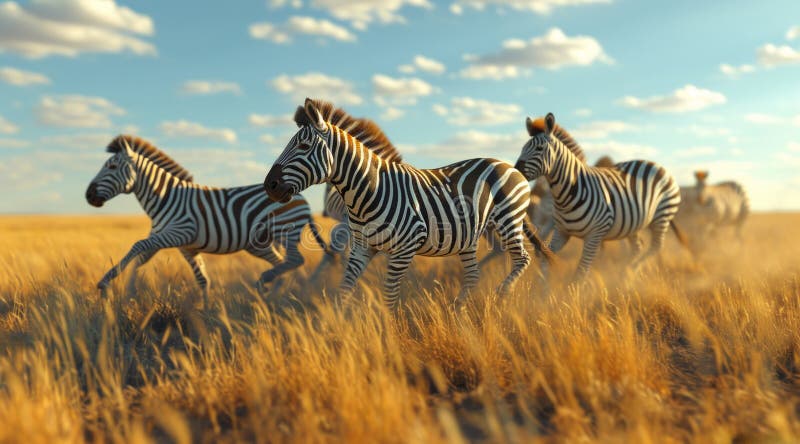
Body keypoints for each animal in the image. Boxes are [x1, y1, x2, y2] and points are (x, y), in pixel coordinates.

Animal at [85, 135, 328, 304]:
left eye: (111, 166)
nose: (88, 195)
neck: (165, 198)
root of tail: (301, 197)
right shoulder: (184, 246)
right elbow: (199, 278)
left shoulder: (179, 232)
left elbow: (137, 246)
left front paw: (106, 282)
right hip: (259, 244)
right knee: (282, 265)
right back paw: (269, 296)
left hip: (285, 230)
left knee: (294, 261)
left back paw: (266, 290)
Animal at [263, 98, 554, 309]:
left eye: (303, 146)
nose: (269, 185)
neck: (369, 190)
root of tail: (508, 165)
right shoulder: (362, 247)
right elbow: (344, 289)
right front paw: (338, 331)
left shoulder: (404, 249)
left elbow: (390, 296)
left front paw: (393, 336)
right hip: (469, 237)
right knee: (473, 275)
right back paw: (457, 309)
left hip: (507, 221)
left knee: (523, 258)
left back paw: (501, 295)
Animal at [513, 113, 686, 280]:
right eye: (522, 148)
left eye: (539, 148)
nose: (515, 171)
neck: (568, 192)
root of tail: (657, 165)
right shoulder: (561, 232)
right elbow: (546, 259)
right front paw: (542, 288)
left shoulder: (595, 235)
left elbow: (580, 273)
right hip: (634, 222)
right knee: (638, 247)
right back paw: (626, 276)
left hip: (662, 216)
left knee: (656, 247)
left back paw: (631, 270)